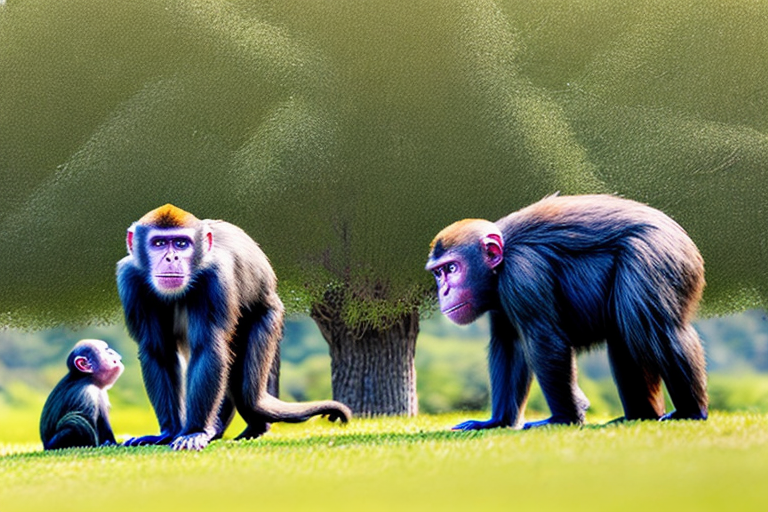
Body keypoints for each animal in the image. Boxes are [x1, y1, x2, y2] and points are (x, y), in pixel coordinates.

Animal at [116, 204, 351, 451]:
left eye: (181, 243)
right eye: (159, 243)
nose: (172, 257)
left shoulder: (216, 277)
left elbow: (208, 347)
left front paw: (194, 431)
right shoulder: (130, 280)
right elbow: (158, 351)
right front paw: (169, 432)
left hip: (269, 318)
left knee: (249, 396)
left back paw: (250, 424)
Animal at [426, 194, 708, 430]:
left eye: (452, 268)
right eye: (438, 273)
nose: (444, 290)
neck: (501, 262)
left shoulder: (522, 272)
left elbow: (545, 340)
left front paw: (564, 417)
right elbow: (510, 346)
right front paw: (498, 421)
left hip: (656, 256)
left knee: (653, 330)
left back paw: (691, 411)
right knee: (625, 335)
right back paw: (641, 415)